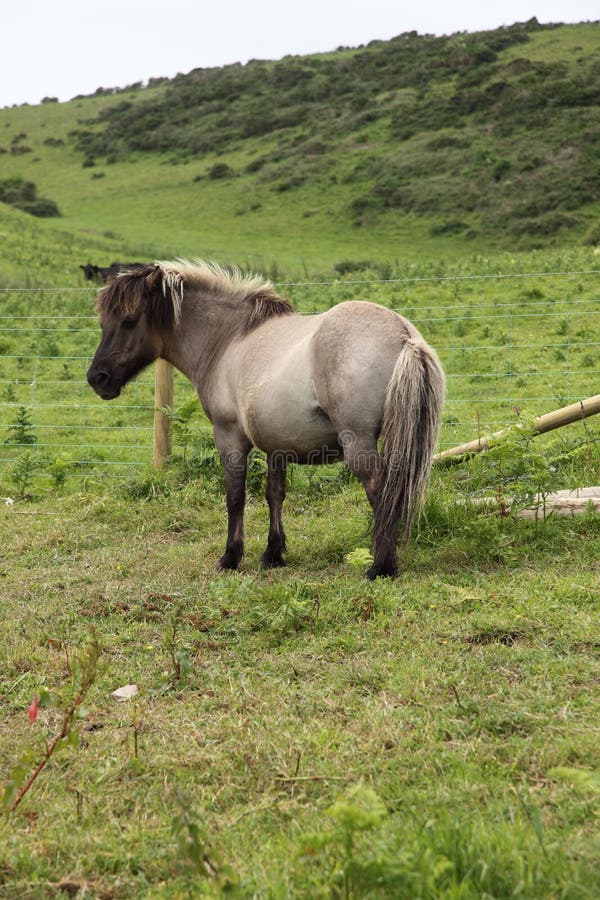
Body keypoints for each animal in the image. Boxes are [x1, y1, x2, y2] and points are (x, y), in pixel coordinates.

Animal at [87, 260, 445, 579]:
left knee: (380, 491)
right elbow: (275, 494)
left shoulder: (229, 438)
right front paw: (273, 554)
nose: (97, 378)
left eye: (129, 321)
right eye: (104, 322)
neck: (229, 340)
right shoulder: (278, 445)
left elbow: (235, 497)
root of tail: (404, 335)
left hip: (358, 442)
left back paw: (380, 567)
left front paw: (230, 557)